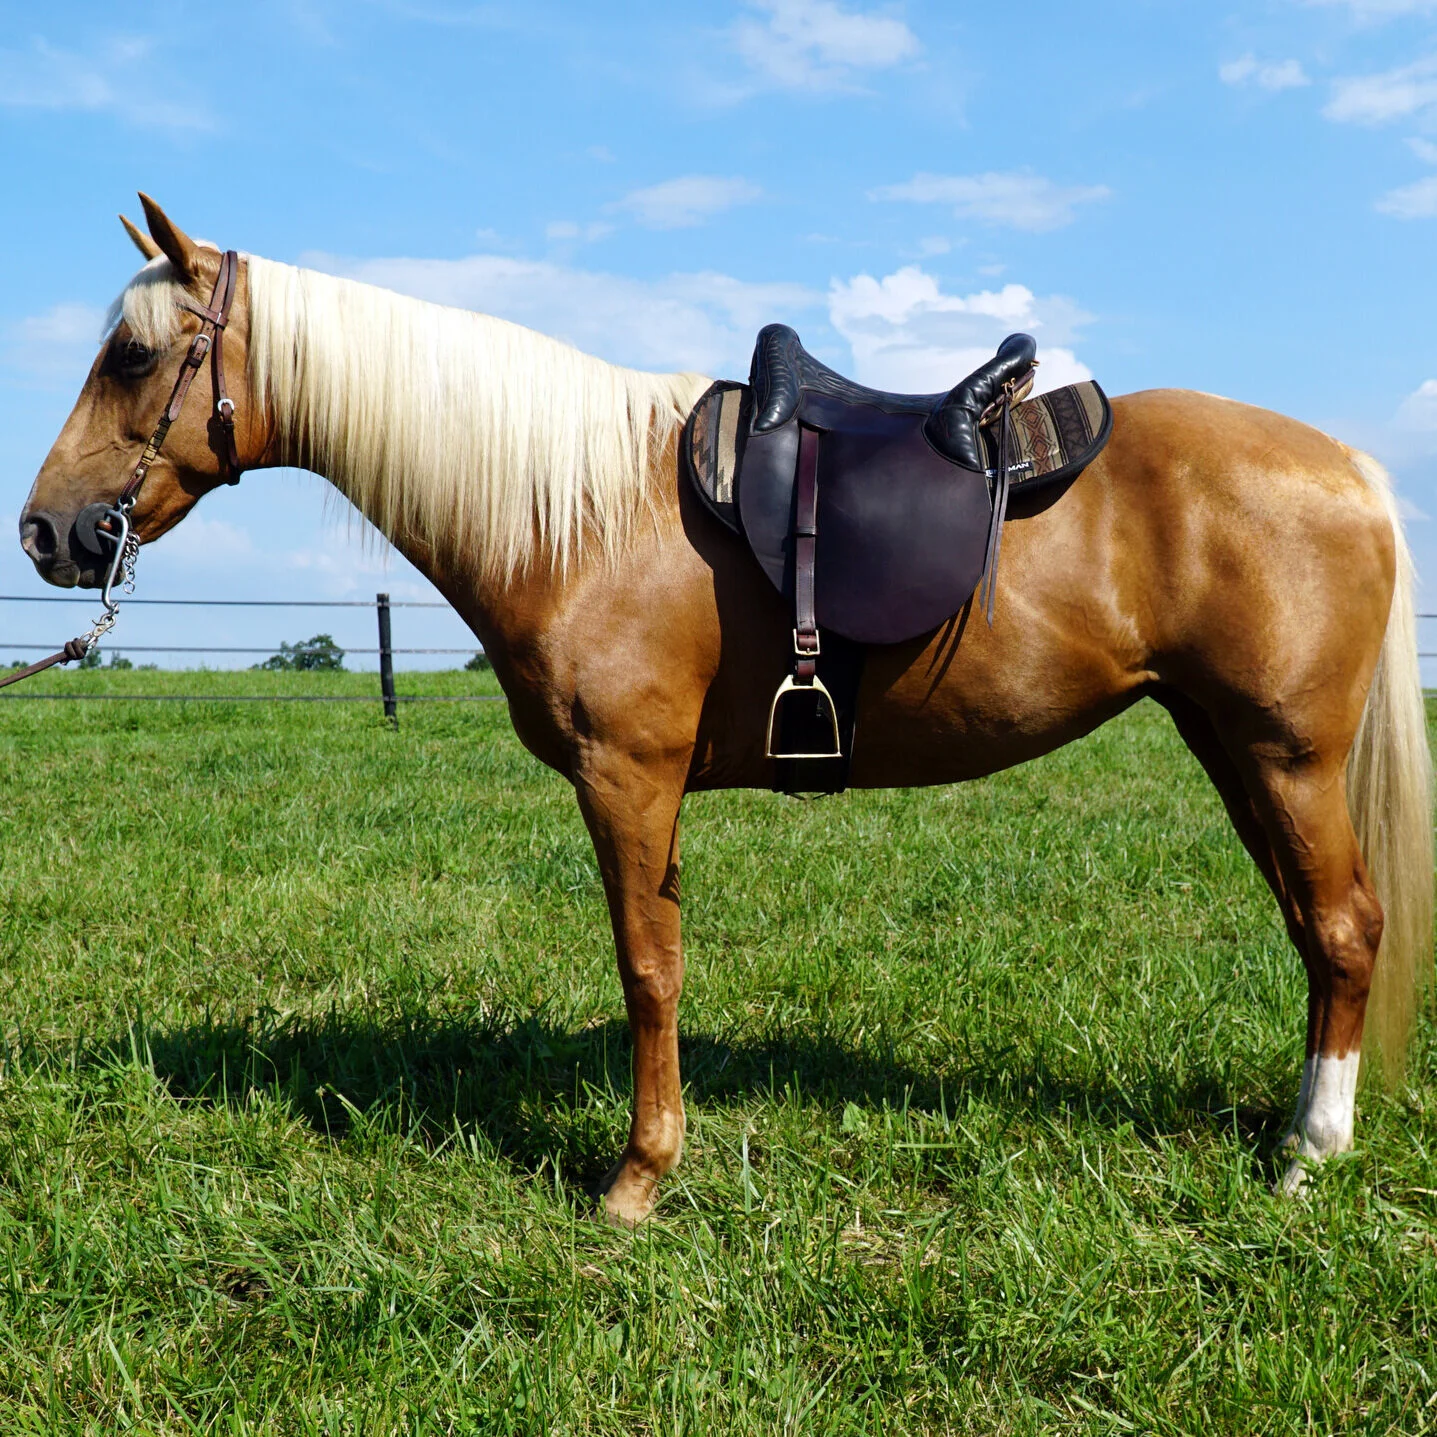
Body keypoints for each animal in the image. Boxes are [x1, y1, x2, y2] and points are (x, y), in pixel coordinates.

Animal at [19, 197, 1432, 1225]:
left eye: (132, 355)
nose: (46, 531)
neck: (584, 511)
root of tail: (1351, 465)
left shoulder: (627, 776)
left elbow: (649, 969)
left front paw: (639, 1178)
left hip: (1285, 755)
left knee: (1346, 928)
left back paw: (1310, 1154)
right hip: (1233, 748)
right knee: (1314, 931)